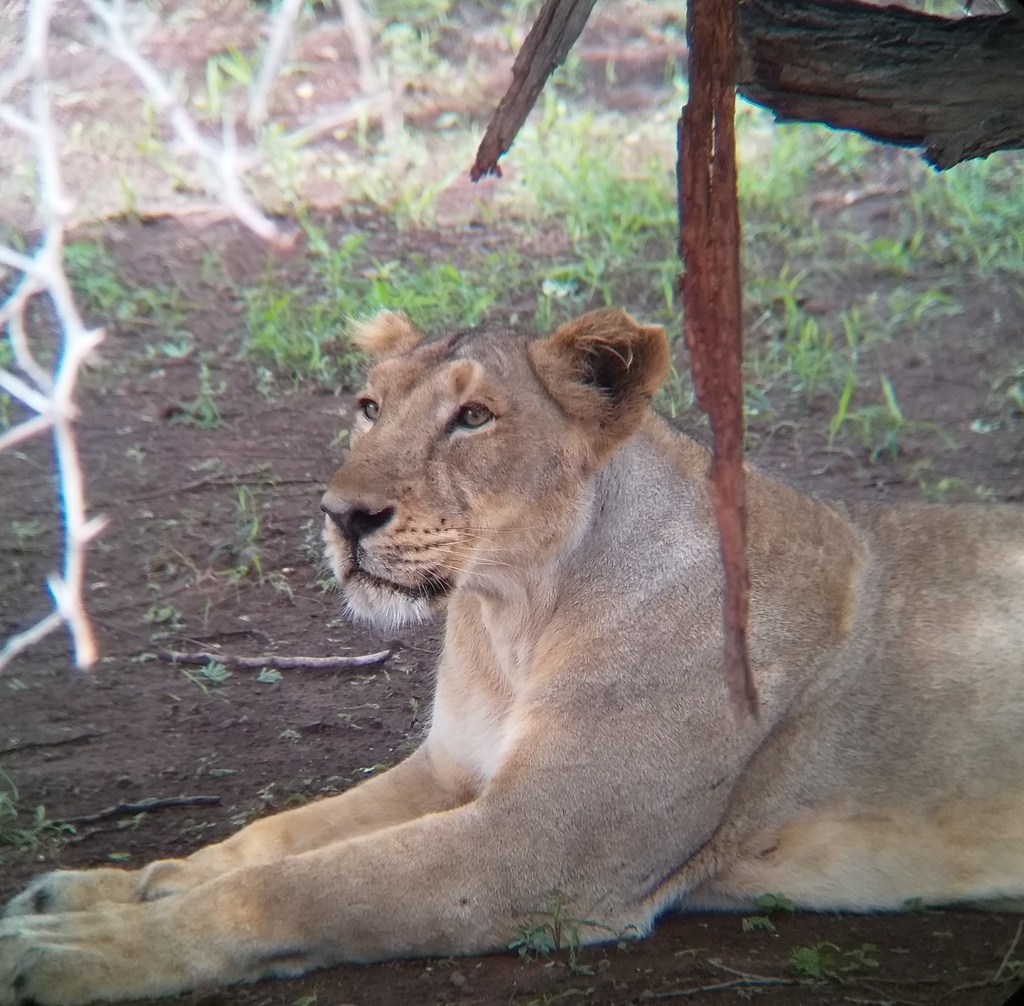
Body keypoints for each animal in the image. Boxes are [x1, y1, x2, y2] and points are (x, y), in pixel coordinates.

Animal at [2, 307, 1024, 1006]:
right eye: (368, 407)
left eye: (474, 419)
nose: (343, 516)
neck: (510, 615)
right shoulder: (450, 768)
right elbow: (278, 837)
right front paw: (114, 887)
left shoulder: (539, 848)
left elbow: (302, 887)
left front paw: (75, 954)